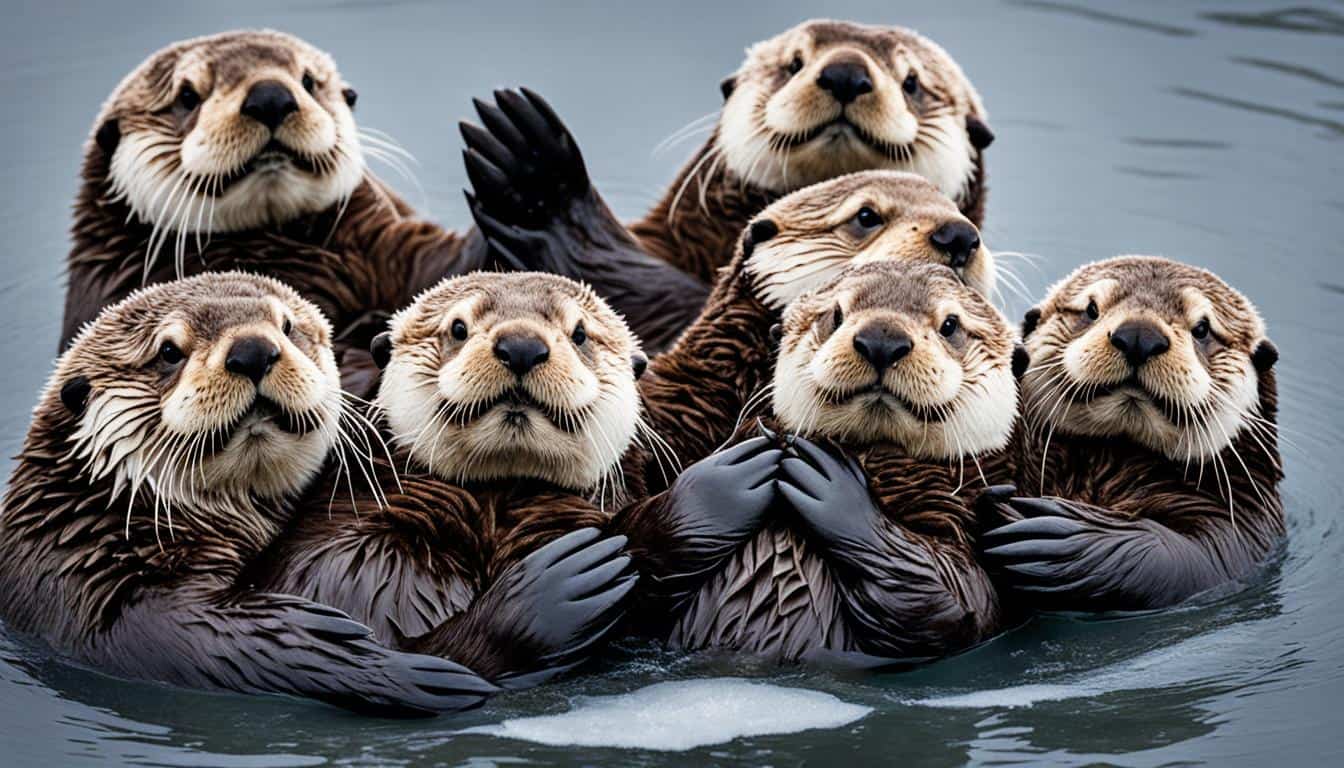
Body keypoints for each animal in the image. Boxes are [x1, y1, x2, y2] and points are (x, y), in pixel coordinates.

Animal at [0, 272, 496, 715]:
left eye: (287, 326)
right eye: (168, 351)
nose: (253, 350)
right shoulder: (89, 589)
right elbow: (201, 637)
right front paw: (407, 672)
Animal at [613, 261, 1021, 662]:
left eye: (950, 325)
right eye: (836, 314)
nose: (882, 339)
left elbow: (956, 596)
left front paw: (834, 489)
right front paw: (726, 481)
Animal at [981, 256, 1283, 612]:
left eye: (1203, 328)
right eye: (1091, 309)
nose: (1139, 335)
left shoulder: (1240, 524)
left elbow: (1185, 559)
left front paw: (1053, 535)